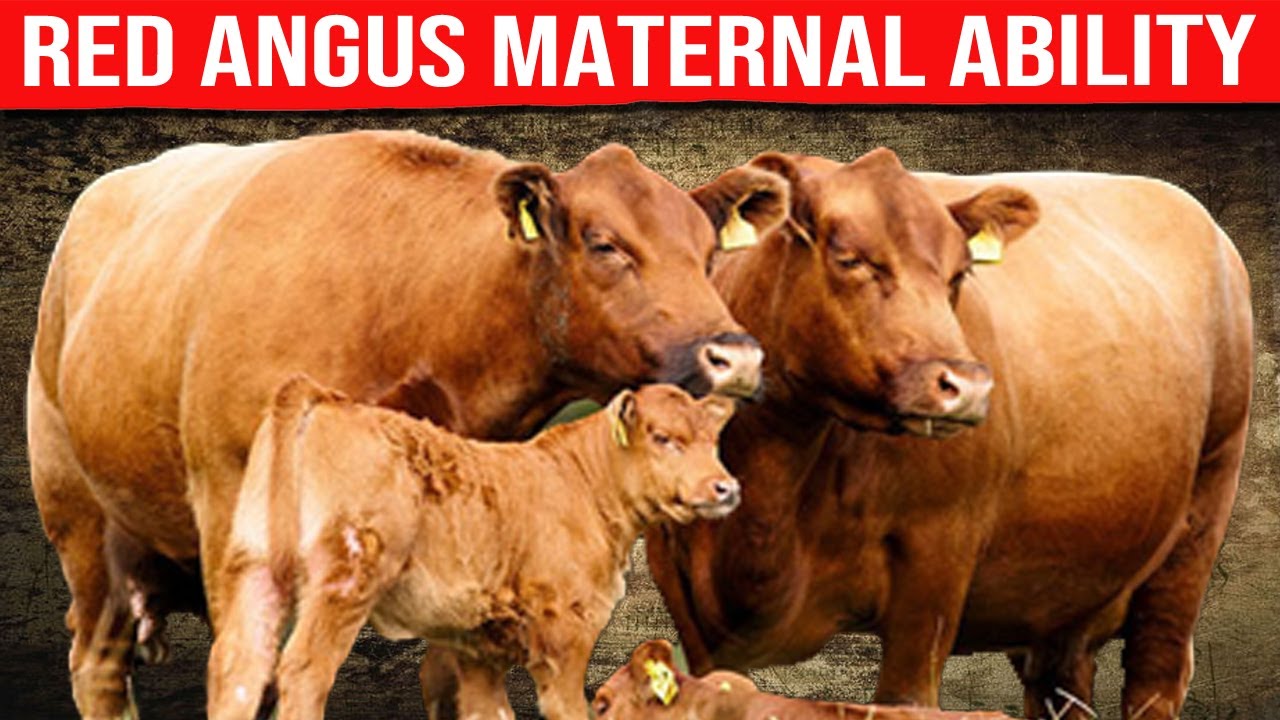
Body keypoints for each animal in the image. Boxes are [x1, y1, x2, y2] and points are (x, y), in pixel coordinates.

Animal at [206, 378, 740, 720]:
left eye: (713, 441)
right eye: (663, 437)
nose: (726, 487)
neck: (585, 484)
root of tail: (326, 398)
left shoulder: (480, 648)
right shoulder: (566, 634)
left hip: (254, 567)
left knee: (237, 666)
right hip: (346, 578)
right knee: (304, 671)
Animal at [648, 149, 1253, 720]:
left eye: (958, 274)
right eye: (851, 260)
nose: (966, 386)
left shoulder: (936, 564)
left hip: (1198, 522)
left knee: (1156, 674)